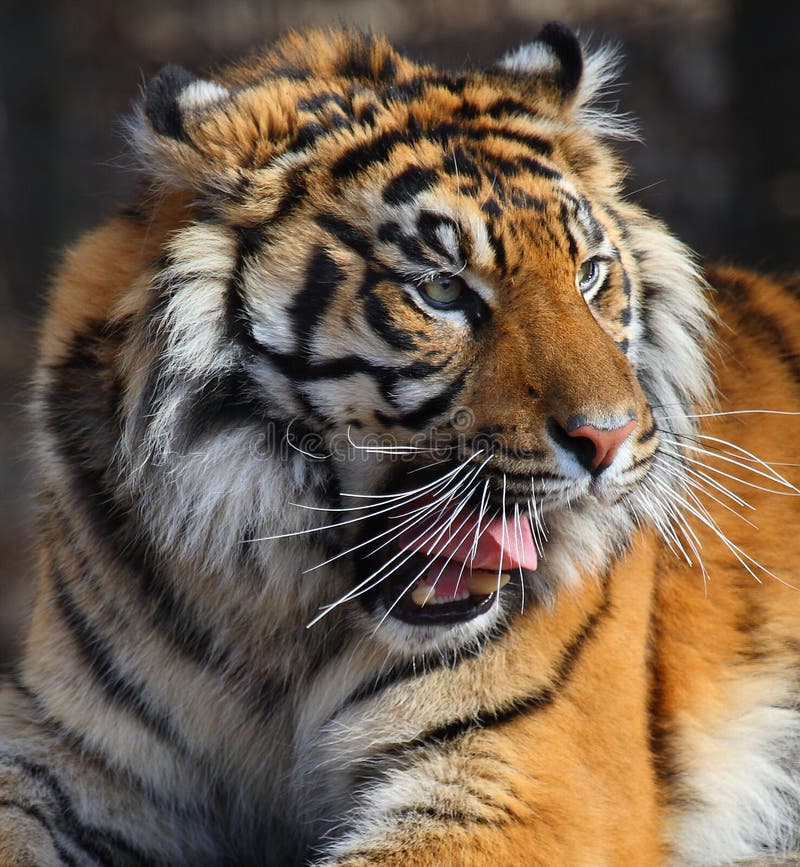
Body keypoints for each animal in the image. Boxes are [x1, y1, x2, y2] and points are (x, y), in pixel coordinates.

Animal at [1, 20, 799, 867]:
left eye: (588, 274)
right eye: (443, 290)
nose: (608, 438)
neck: (274, 625)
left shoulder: (524, 779)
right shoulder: (69, 747)